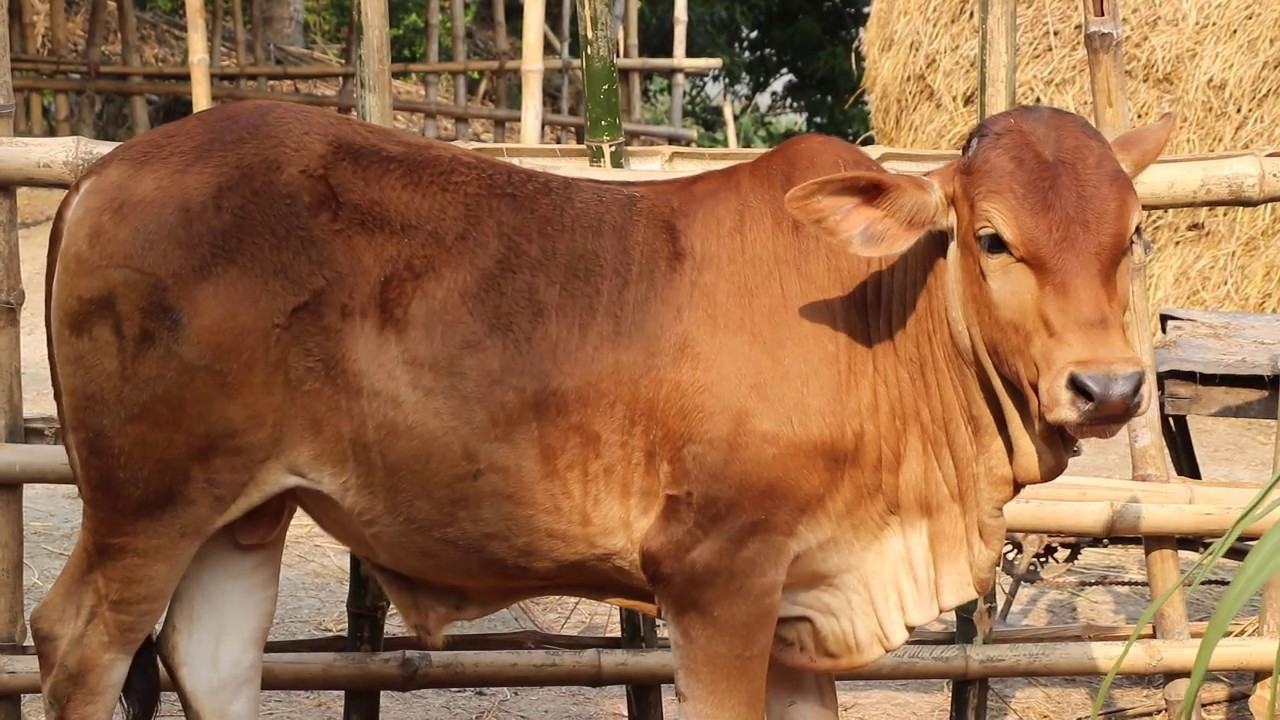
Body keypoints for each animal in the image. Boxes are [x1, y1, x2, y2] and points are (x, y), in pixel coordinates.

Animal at [30, 99, 1175, 719]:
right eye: (991, 237)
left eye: (1133, 235)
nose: (1109, 387)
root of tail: (104, 171)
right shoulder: (715, 579)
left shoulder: (803, 601)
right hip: (147, 503)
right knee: (76, 641)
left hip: (244, 509)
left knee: (212, 660)